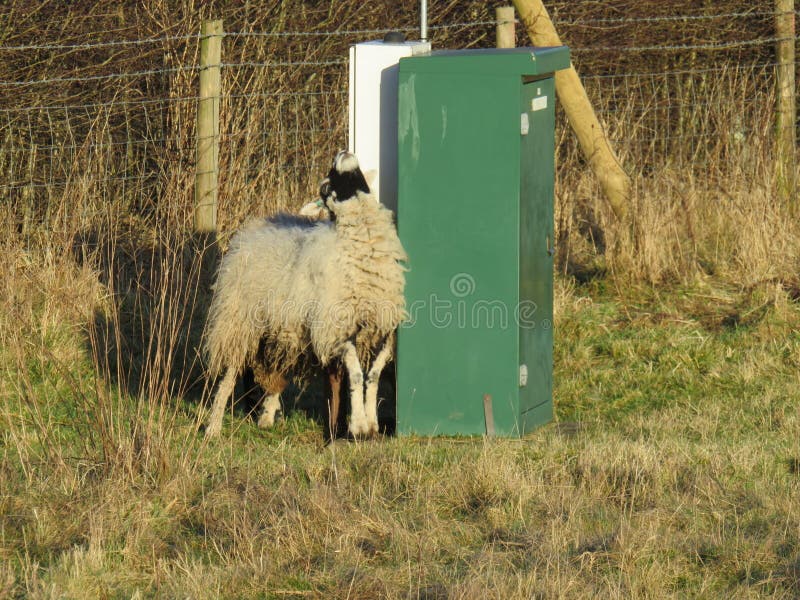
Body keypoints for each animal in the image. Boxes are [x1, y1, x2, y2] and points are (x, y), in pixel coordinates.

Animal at [203, 151, 407, 438]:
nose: (342, 152)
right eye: (327, 186)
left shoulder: (382, 331)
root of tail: (253, 227)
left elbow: (373, 375)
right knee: (231, 373)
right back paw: (214, 426)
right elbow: (356, 373)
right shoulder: (334, 330)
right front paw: (357, 424)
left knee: (277, 369)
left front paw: (372, 423)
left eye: (356, 177)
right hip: (241, 321)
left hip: (283, 330)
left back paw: (266, 417)